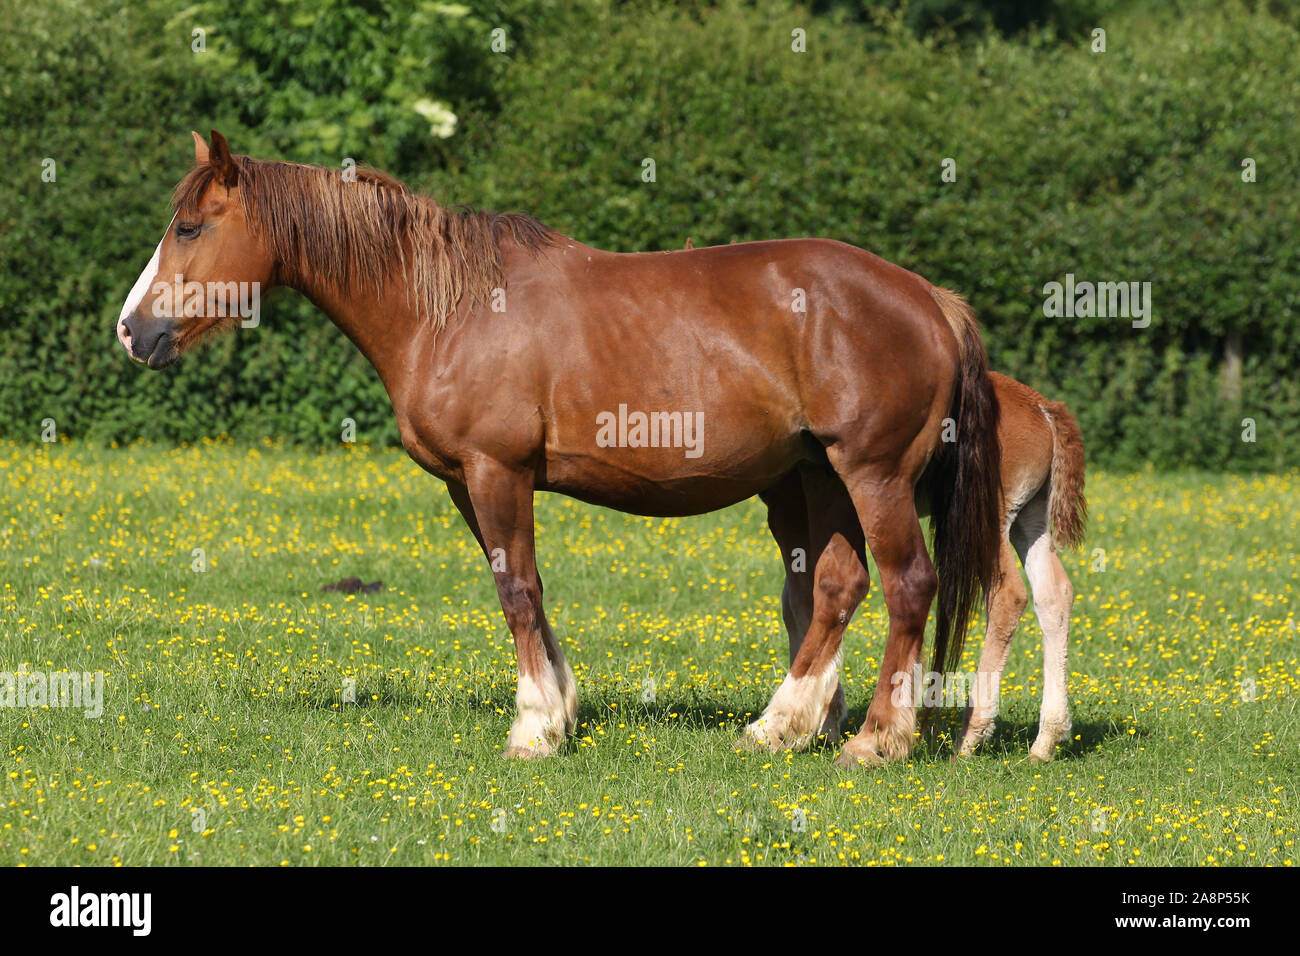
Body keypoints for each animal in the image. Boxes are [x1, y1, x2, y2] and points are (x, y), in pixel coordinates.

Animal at [116, 130, 1004, 765]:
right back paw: (780, 726)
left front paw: (534, 730)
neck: (450, 309)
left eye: (189, 226)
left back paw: (874, 742)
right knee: (837, 587)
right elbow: (525, 591)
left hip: (872, 475)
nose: (132, 330)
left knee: (907, 586)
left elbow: (517, 592)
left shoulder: (497, 471)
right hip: (819, 477)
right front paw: (562, 707)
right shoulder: (467, 483)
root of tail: (931, 299)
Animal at [747, 370, 1085, 761]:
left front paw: (802, 722)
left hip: (987, 520)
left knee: (1008, 595)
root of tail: (1042, 408)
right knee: (1055, 594)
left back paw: (970, 735)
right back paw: (1045, 741)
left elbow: (805, 599)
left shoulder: (789, 507)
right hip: (1031, 519)